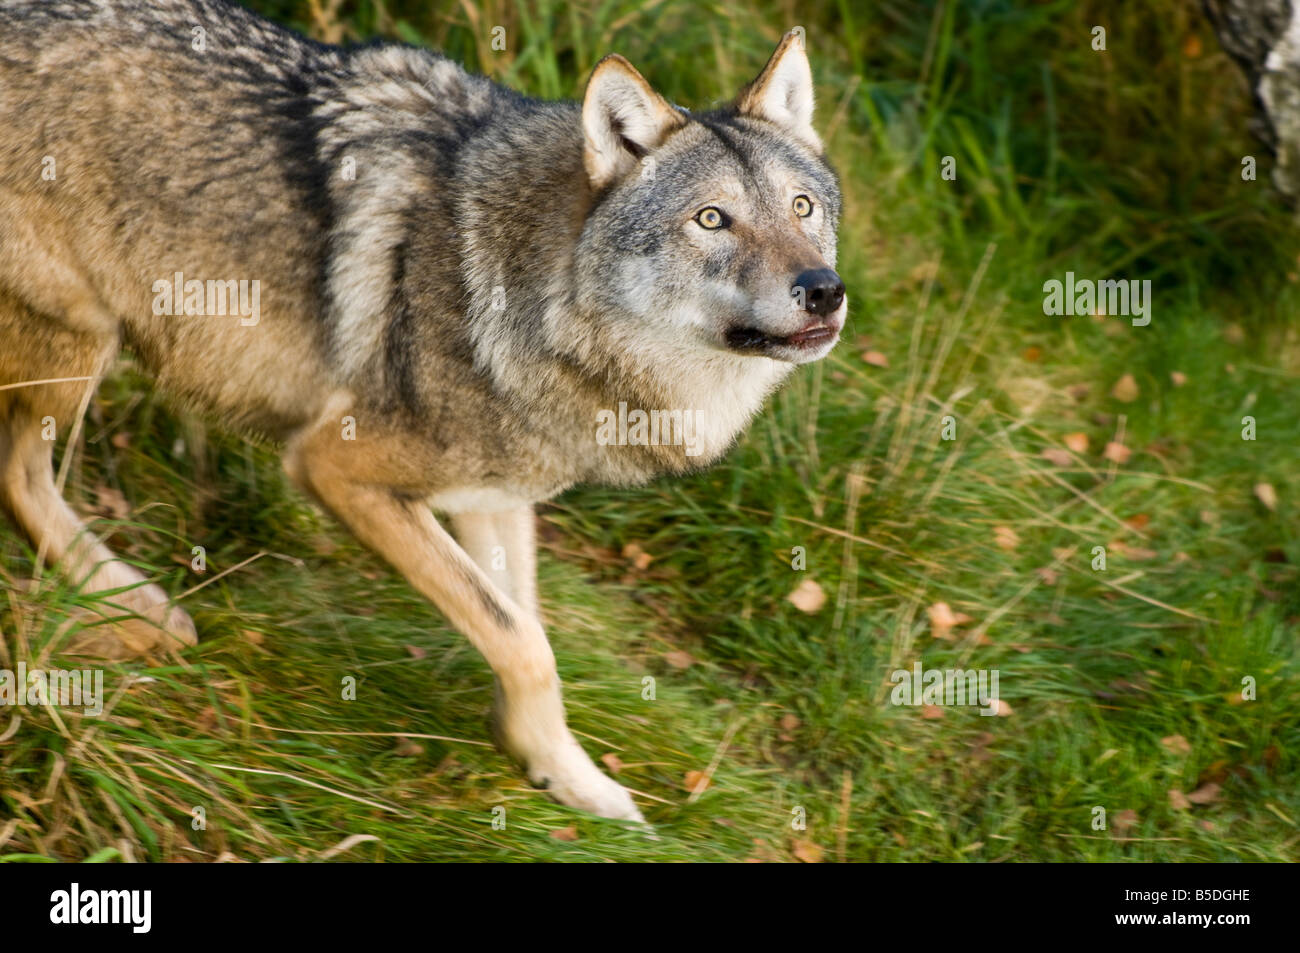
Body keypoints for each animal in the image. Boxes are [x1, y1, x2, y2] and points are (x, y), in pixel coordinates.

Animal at [0, 0, 845, 821]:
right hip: (83, 344)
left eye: (802, 207)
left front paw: (563, 773)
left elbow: (527, 632)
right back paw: (131, 604)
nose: (825, 290)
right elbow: (523, 640)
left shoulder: (493, 496)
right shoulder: (332, 466)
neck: (526, 289)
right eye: (712, 219)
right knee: (20, 477)